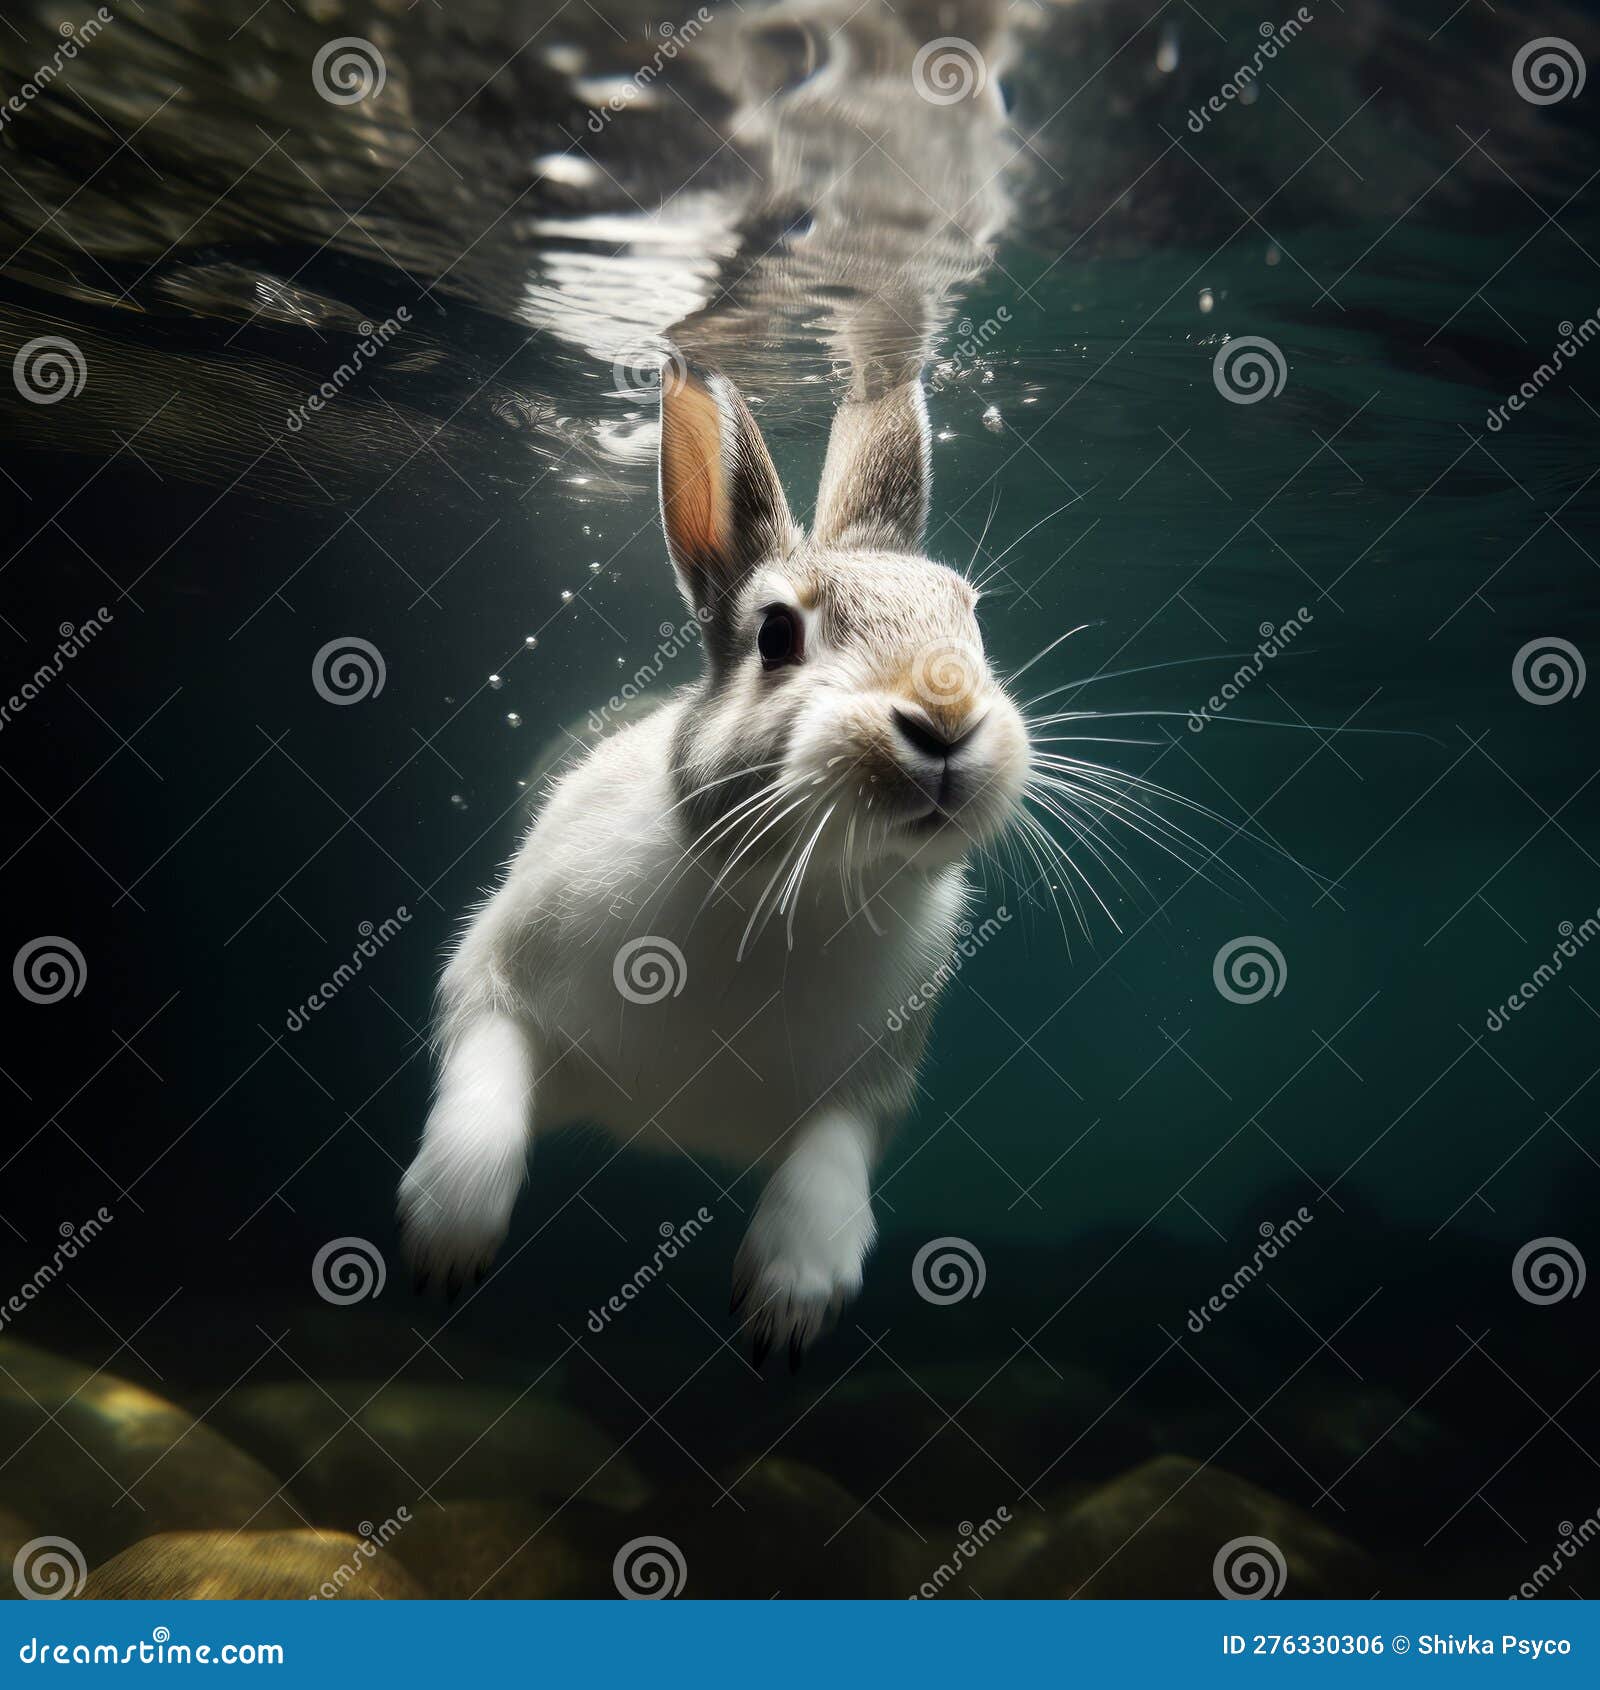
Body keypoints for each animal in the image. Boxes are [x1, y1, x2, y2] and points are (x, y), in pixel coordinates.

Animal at [397, 358, 1031, 1367]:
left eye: (971, 620)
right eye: (775, 635)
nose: (946, 721)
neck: (788, 887)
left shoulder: (873, 1085)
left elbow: (832, 1161)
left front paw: (790, 1305)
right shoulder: (492, 980)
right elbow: (482, 1079)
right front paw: (444, 1242)